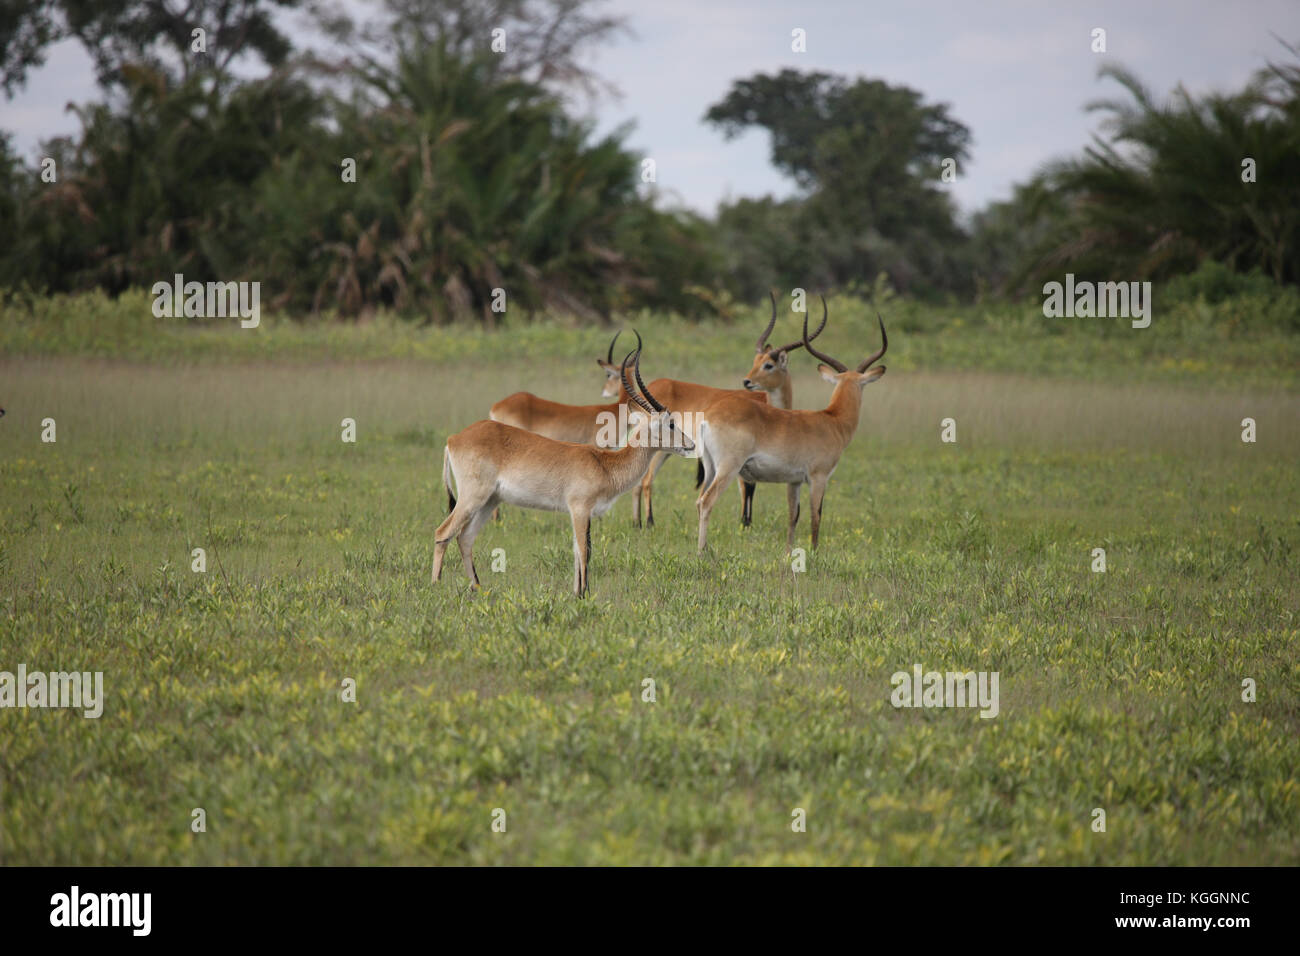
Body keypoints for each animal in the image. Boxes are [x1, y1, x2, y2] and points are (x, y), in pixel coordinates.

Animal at [434, 344, 694, 597]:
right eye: (671, 423)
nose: (690, 444)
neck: (605, 465)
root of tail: (453, 438)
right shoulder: (580, 508)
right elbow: (585, 549)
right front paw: (583, 595)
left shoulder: (577, 512)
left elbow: (577, 551)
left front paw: (577, 593)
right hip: (472, 497)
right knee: (442, 532)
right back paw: (435, 586)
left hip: (490, 501)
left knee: (465, 537)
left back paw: (478, 588)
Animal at [695, 298, 887, 553]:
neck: (832, 420)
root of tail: (710, 415)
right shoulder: (818, 477)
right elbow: (816, 515)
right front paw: (815, 553)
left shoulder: (793, 481)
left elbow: (793, 515)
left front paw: (789, 552)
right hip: (728, 468)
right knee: (707, 502)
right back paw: (702, 553)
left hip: (710, 468)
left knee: (699, 501)